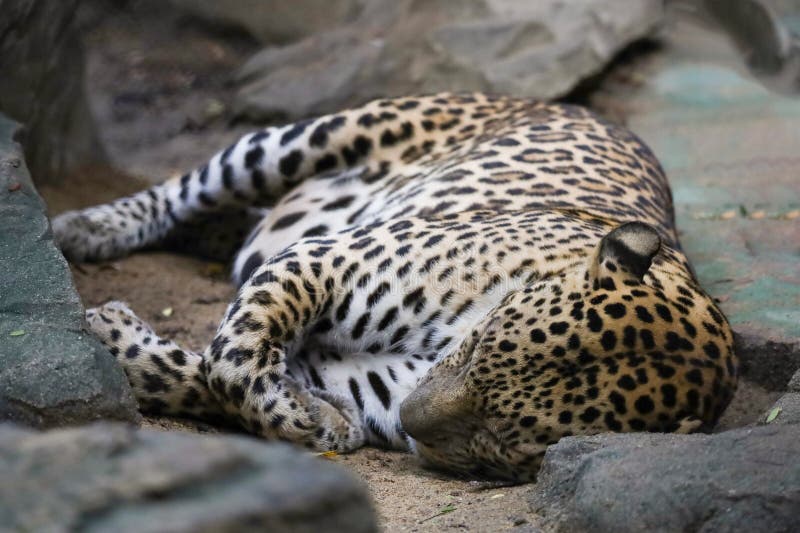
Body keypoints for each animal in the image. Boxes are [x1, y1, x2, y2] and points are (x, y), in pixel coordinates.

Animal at [52, 93, 738, 481]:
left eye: (503, 440)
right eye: (477, 348)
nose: (409, 419)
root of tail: (575, 105)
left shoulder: (353, 375)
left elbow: (203, 373)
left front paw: (325, 419)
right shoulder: (321, 260)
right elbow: (231, 361)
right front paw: (302, 419)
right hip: (304, 140)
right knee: (183, 190)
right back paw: (83, 228)